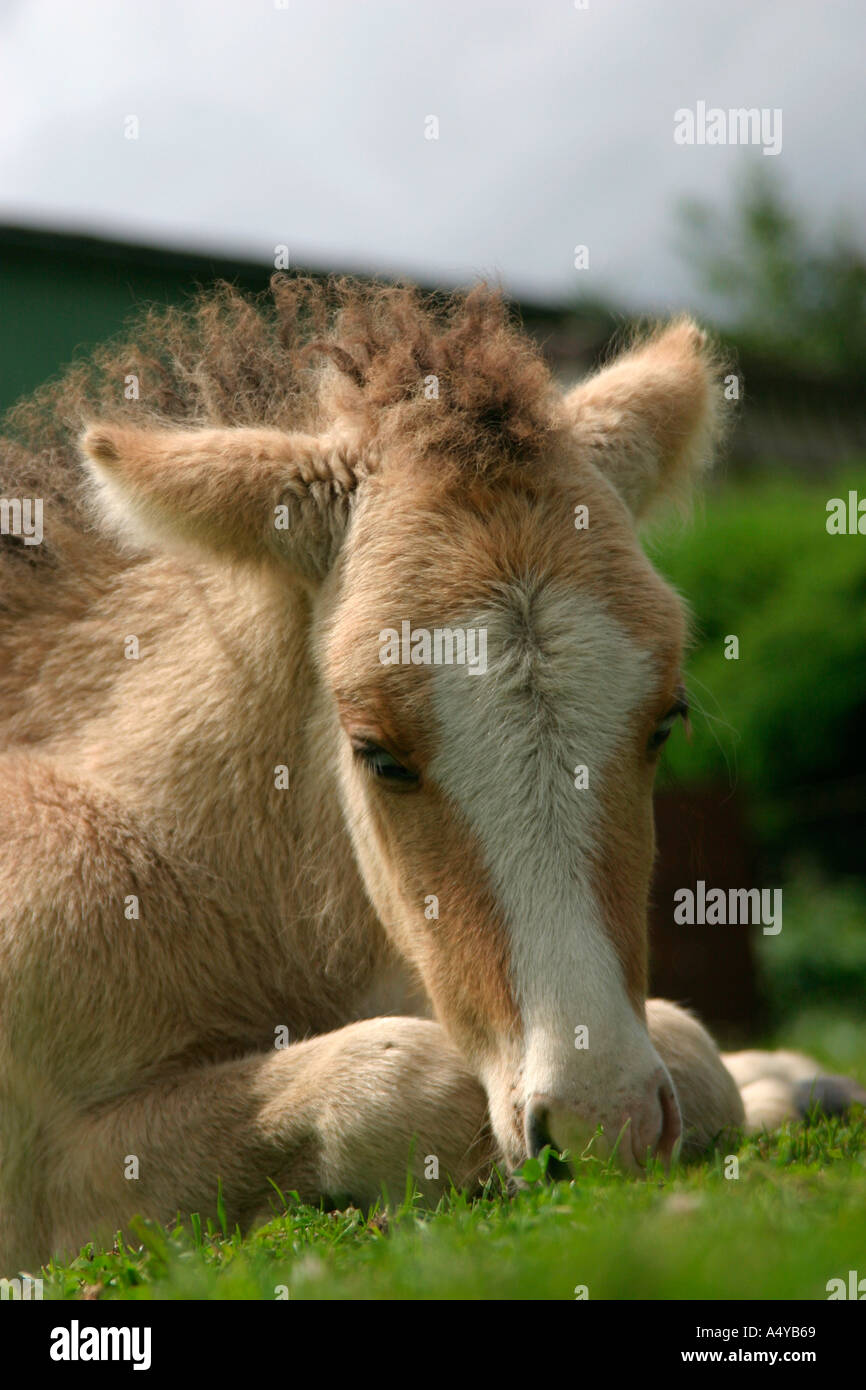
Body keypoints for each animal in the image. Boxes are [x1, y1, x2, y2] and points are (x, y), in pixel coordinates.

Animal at [0, 278, 859, 1271]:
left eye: (665, 722)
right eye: (379, 754)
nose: (603, 1124)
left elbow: (691, 1049)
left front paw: (781, 1081)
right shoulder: (45, 1186)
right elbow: (408, 1075)